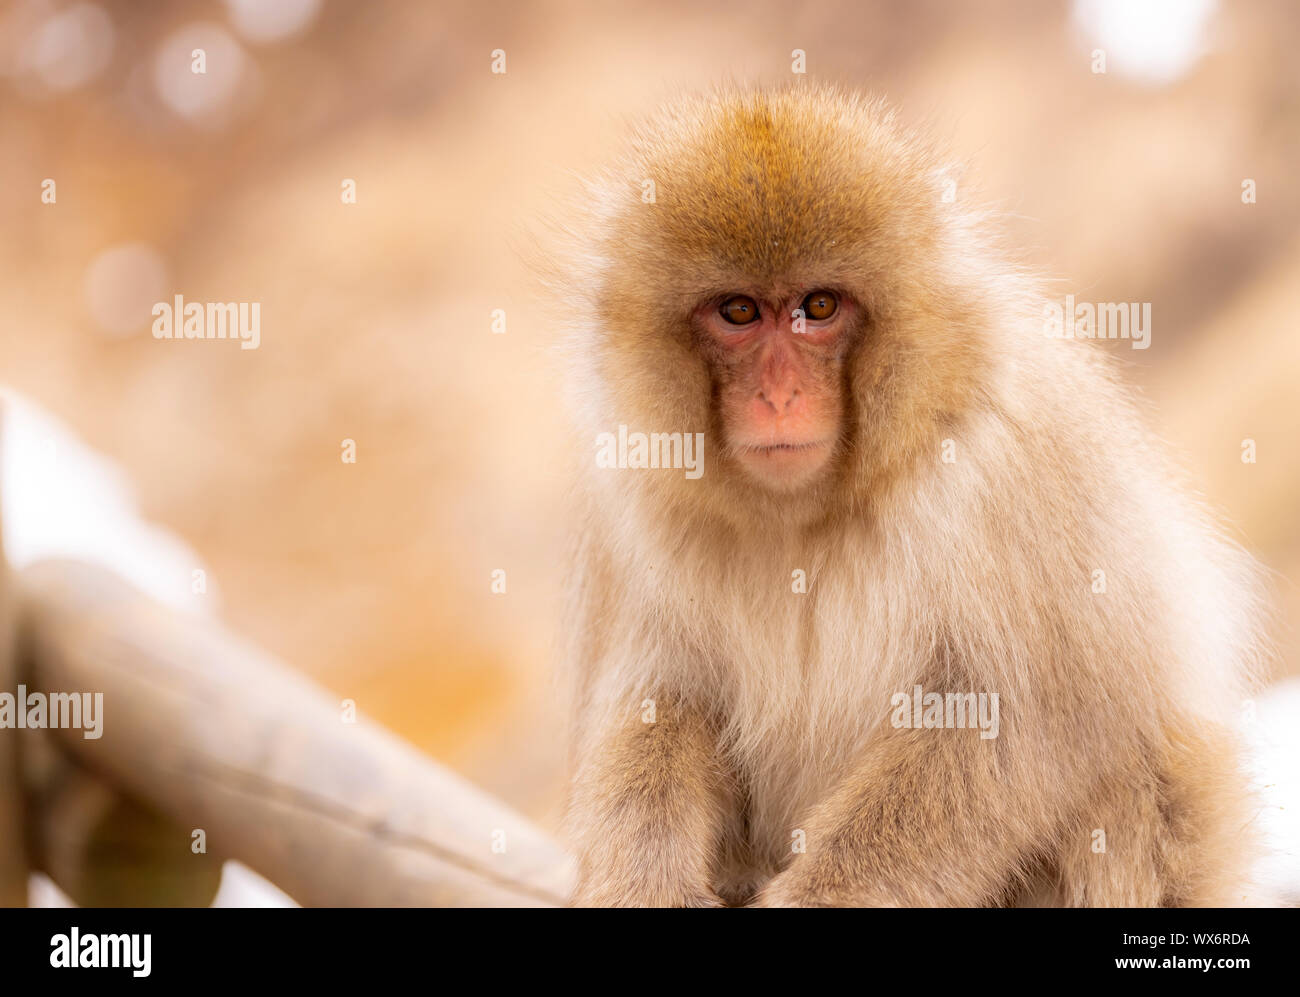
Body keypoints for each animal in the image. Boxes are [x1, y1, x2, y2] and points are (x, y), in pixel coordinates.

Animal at [553, 85, 1267, 907]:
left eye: (819, 307)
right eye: (738, 313)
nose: (779, 395)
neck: (811, 514)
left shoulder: (1014, 456)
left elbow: (1016, 723)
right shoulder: (634, 497)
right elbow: (658, 700)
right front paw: (643, 879)